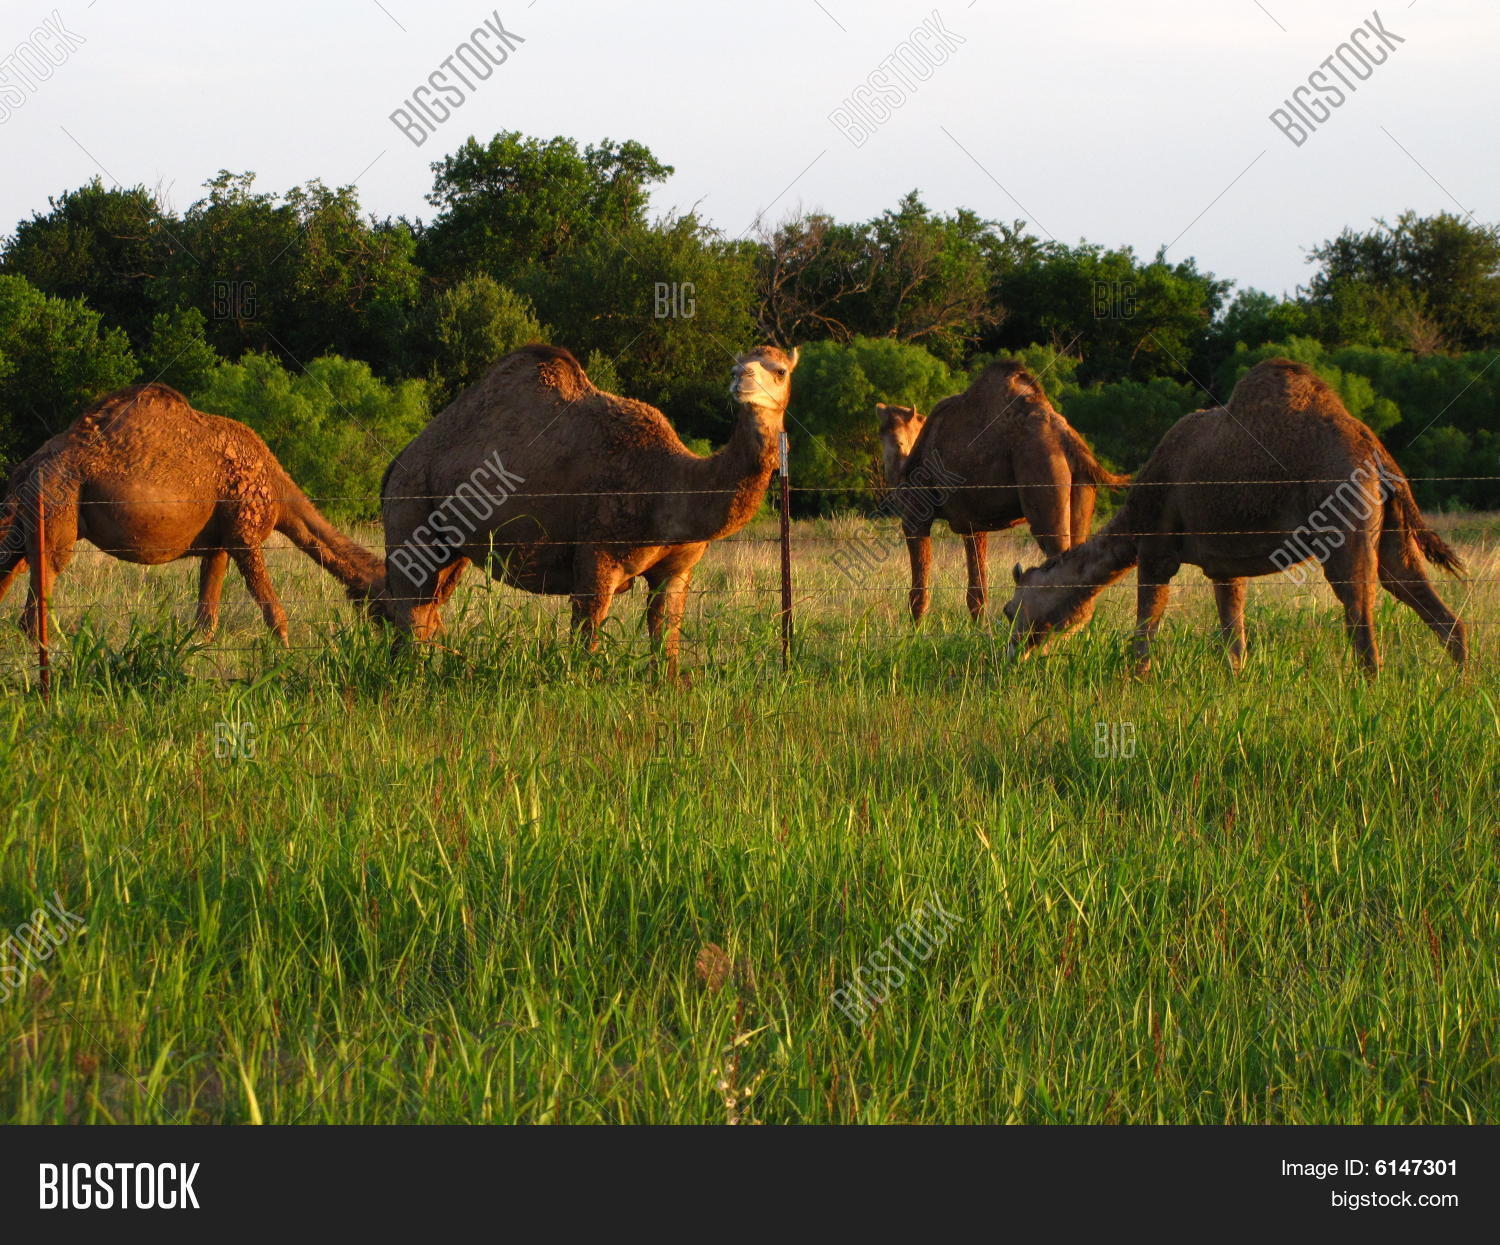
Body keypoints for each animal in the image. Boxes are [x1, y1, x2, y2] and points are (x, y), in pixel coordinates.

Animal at [0, 384, 384, 643]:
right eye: (385, 598)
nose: (386, 643)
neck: (278, 488)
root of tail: (28, 468)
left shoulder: (218, 543)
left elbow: (206, 619)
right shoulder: (244, 532)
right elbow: (273, 610)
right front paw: (285, 657)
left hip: (22, 522)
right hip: (56, 506)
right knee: (39, 597)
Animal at [379, 343, 798, 673]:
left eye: (779, 371)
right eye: (735, 367)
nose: (741, 382)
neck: (669, 482)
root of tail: (397, 463)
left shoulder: (677, 568)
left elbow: (666, 642)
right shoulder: (597, 557)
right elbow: (587, 642)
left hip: (451, 547)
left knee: (426, 605)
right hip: (411, 507)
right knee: (411, 605)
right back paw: (410, 678)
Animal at [878, 360, 1126, 623]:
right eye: (883, 429)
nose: (894, 444)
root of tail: (1069, 440)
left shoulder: (915, 514)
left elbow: (919, 591)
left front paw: (915, 630)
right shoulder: (972, 523)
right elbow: (977, 592)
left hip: (1043, 477)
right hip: (1082, 487)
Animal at [1002, 359, 1467, 674]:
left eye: (1010, 610)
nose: (1010, 653)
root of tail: (1377, 454)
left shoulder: (1156, 548)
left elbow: (1145, 625)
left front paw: (1136, 679)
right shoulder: (1224, 565)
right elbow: (1233, 637)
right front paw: (1235, 683)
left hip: (1343, 518)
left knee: (1360, 613)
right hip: (1389, 529)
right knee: (1420, 594)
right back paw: (1460, 683)